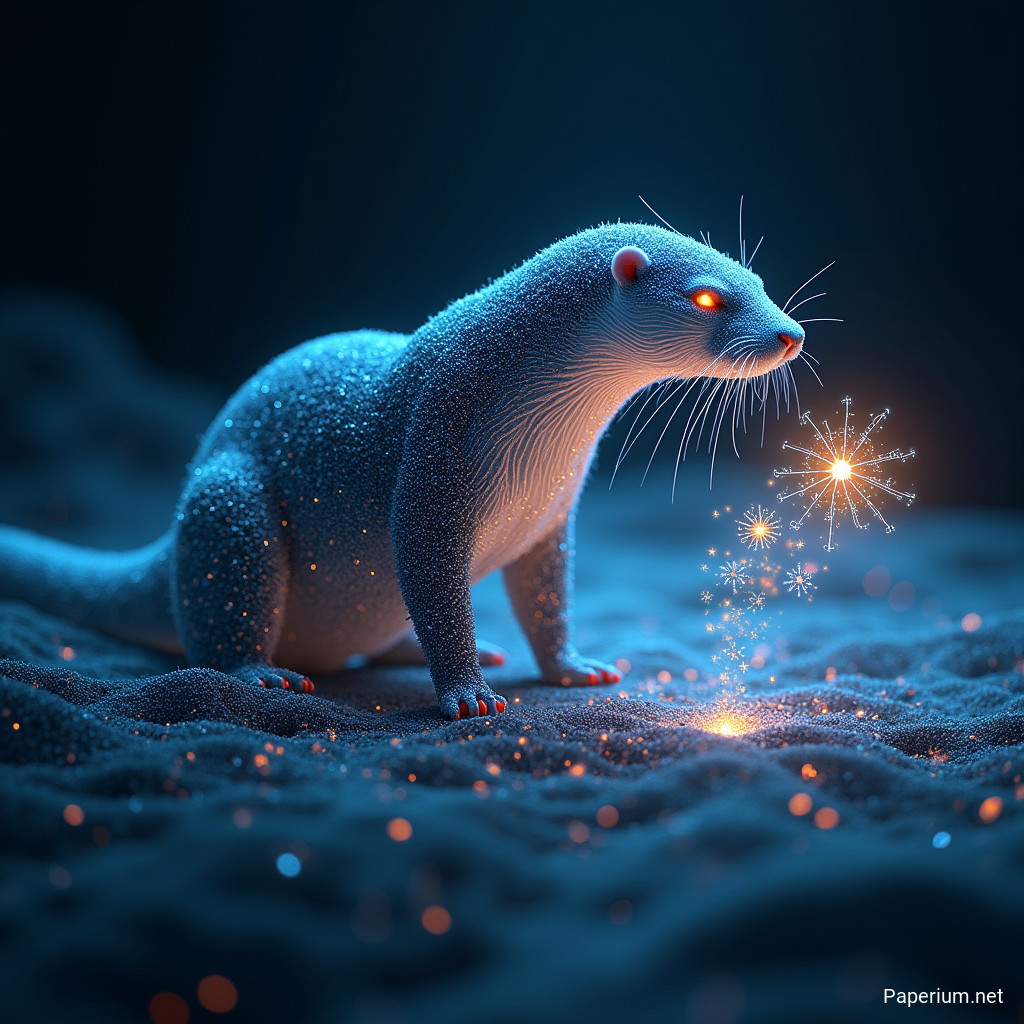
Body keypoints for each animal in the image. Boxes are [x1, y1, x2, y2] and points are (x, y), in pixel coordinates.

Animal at [0, 222, 805, 719]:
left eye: (759, 277)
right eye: (708, 295)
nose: (791, 333)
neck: (542, 433)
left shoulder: (554, 515)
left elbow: (547, 595)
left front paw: (572, 666)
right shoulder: (436, 449)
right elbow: (430, 573)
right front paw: (466, 693)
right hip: (228, 503)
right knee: (218, 617)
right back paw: (257, 675)